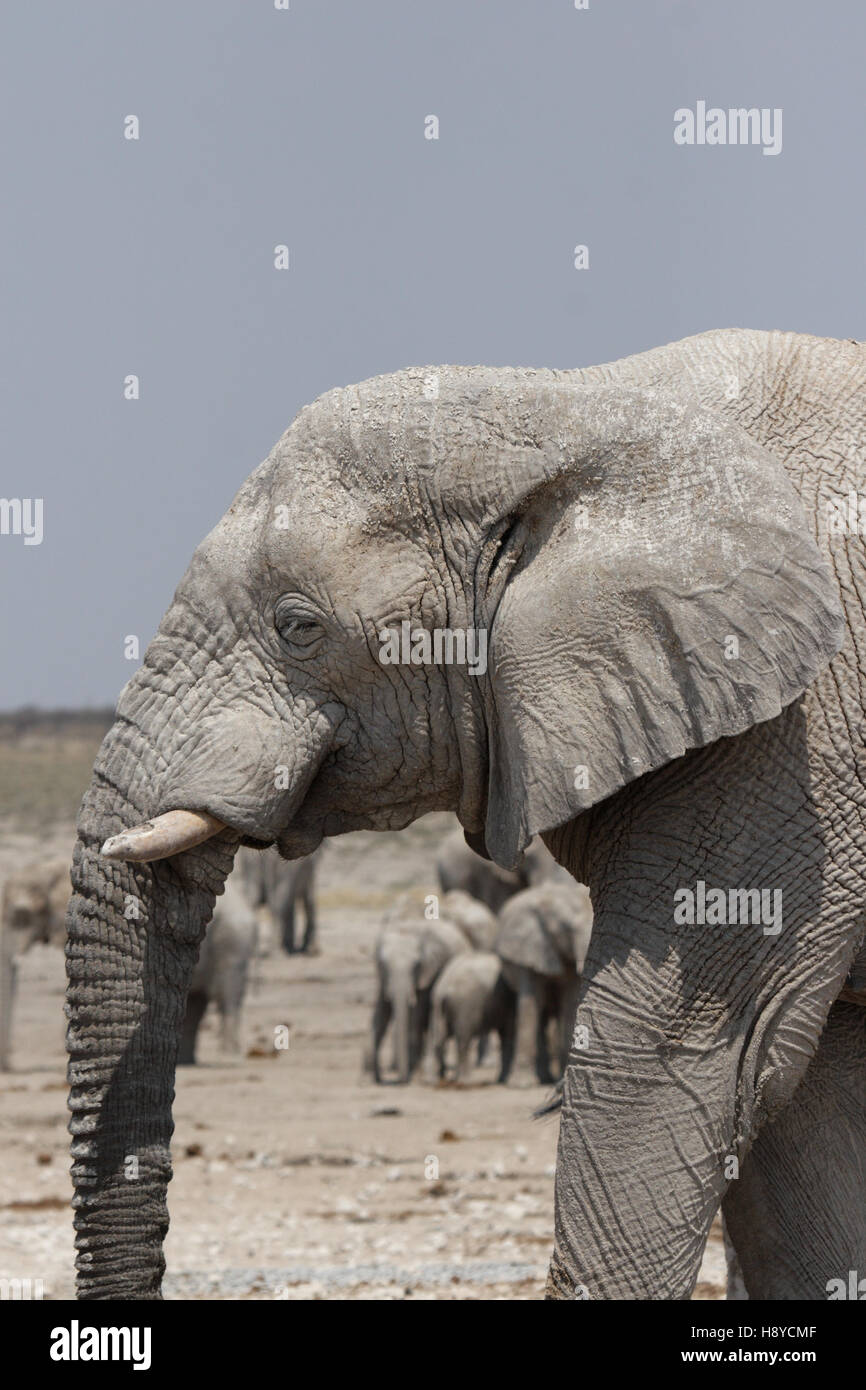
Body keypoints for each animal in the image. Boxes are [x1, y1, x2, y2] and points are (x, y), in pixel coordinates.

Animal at [369, 916, 469, 1083]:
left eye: (416, 965)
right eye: (383, 964)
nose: (402, 1079)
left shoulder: (429, 971)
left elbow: (416, 1014)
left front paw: (414, 1072)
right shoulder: (383, 978)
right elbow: (381, 1013)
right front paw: (374, 1077)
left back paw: (437, 1071)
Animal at [430, 951, 517, 1084]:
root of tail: (443, 988)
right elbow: (509, 1034)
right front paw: (504, 1079)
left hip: (437, 1007)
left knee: (440, 1038)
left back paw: (438, 1079)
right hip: (464, 1005)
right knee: (463, 1039)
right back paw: (464, 1080)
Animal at [495, 879, 593, 1084]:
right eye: (566, 929)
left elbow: (569, 1002)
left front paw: (562, 1079)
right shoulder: (529, 949)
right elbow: (531, 1003)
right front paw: (521, 1085)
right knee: (539, 1012)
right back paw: (542, 1078)